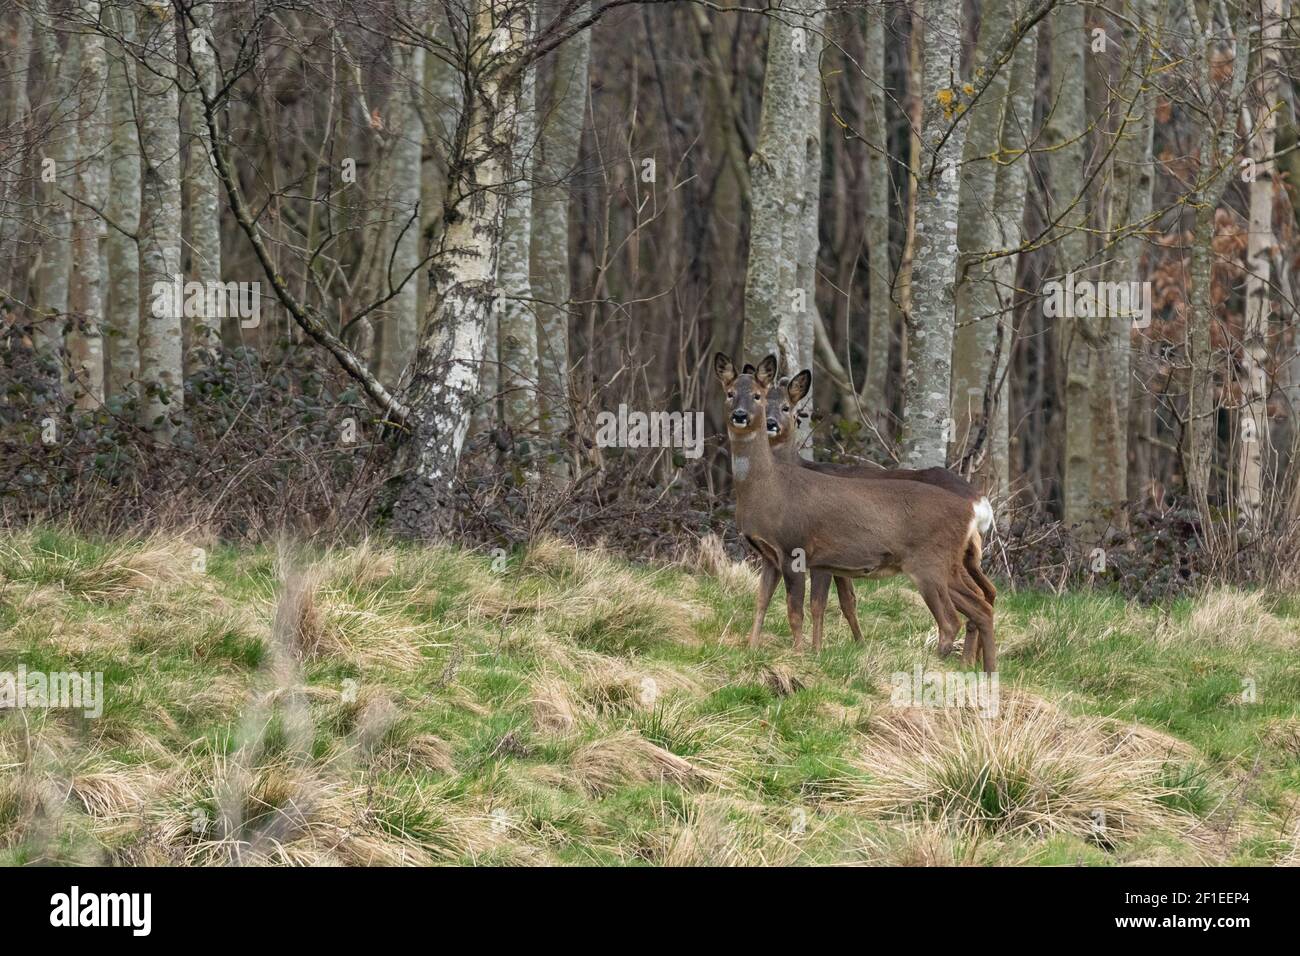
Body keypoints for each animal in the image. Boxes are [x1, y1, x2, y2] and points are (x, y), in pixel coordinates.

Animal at [717, 352, 995, 671]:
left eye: (758, 396)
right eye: (729, 393)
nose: (741, 416)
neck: (771, 487)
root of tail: (976, 506)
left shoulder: (797, 549)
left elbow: (800, 608)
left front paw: (802, 655)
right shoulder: (772, 555)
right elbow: (762, 602)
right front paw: (753, 650)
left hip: (929, 563)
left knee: (952, 620)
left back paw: (936, 665)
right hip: (954, 563)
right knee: (983, 604)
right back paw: (985, 670)